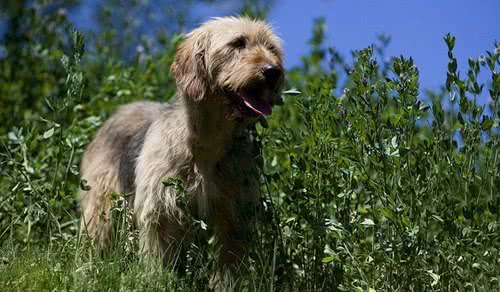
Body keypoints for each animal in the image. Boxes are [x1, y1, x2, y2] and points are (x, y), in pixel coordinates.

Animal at [80, 16, 286, 286]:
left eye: (272, 48)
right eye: (237, 43)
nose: (273, 72)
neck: (209, 140)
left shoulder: (234, 214)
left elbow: (229, 262)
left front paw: (225, 285)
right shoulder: (161, 210)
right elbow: (158, 257)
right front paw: (157, 281)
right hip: (101, 204)